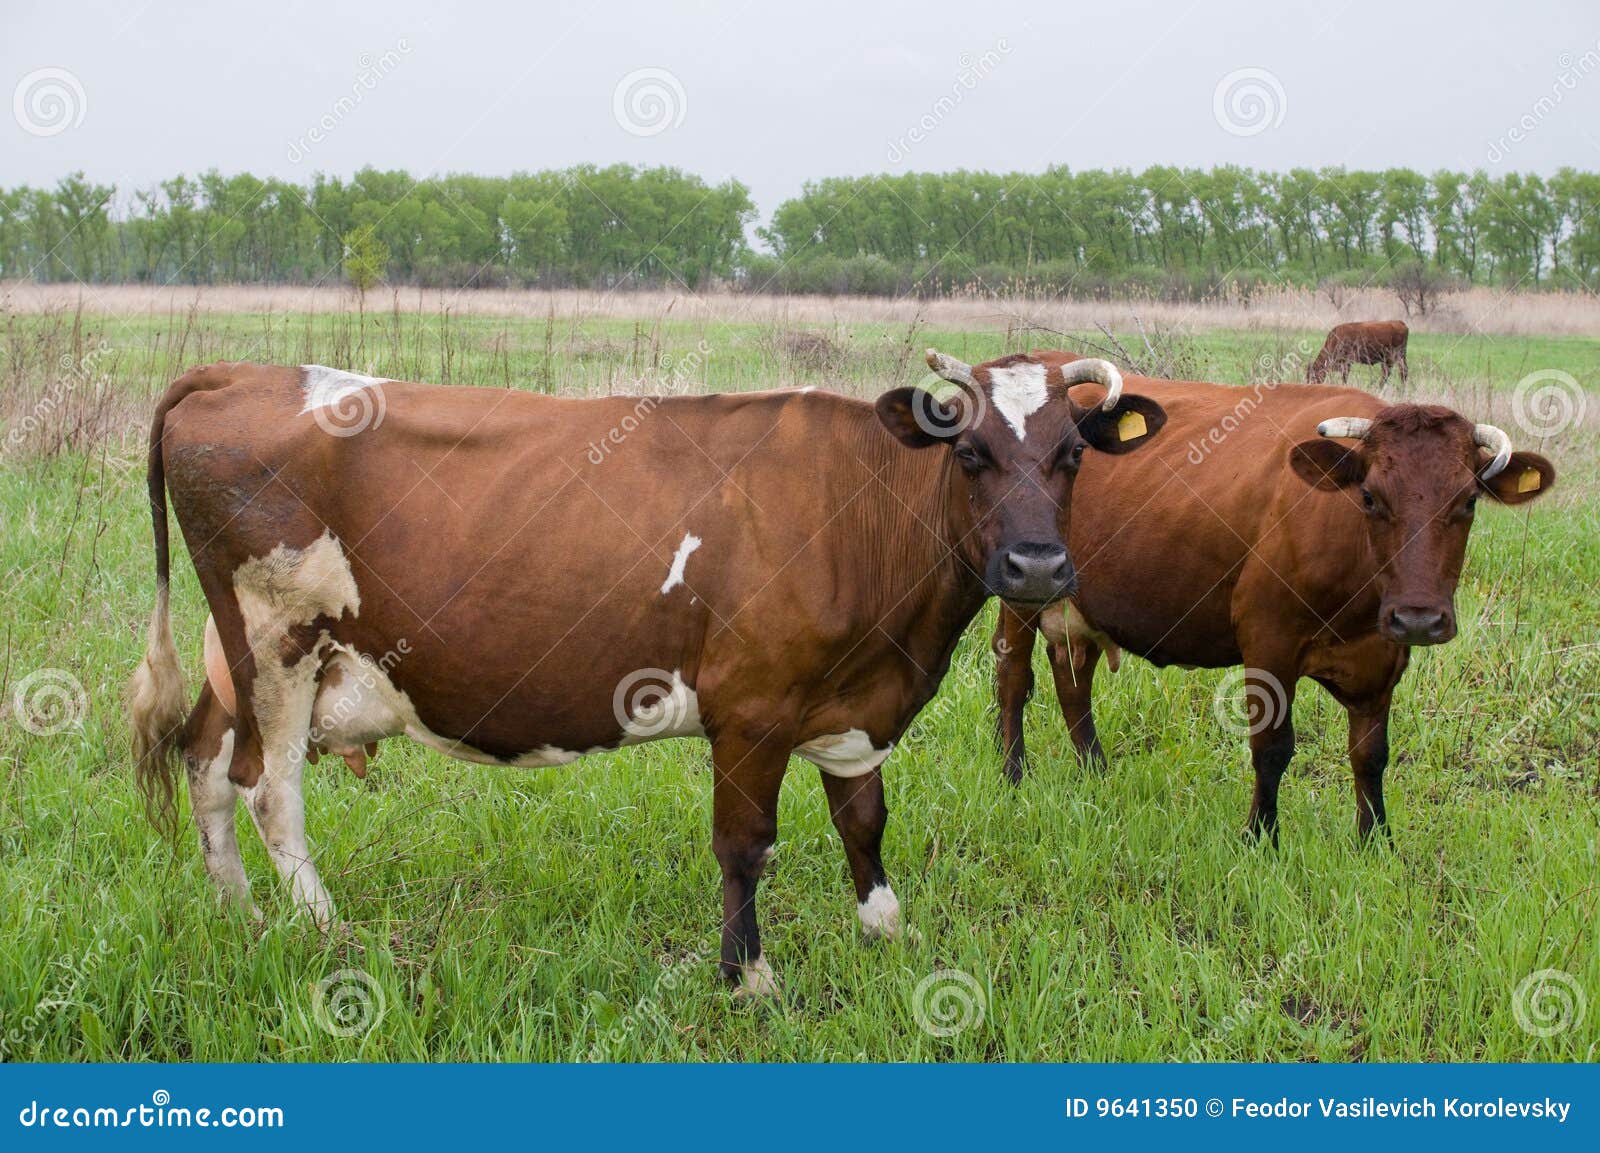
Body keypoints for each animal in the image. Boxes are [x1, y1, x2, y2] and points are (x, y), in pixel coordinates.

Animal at [126, 356, 1168, 995]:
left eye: (1072, 456)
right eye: (971, 452)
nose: (1037, 567)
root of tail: (238, 370)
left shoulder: (855, 707)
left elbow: (863, 820)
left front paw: (886, 928)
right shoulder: (751, 708)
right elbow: (745, 845)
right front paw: (748, 977)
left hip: (238, 657)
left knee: (206, 764)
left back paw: (241, 916)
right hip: (280, 640)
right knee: (269, 789)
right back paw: (325, 932)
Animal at [948, 349, 1555, 843]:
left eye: (1469, 501)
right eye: (1369, 497)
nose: (1421, 618)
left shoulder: (1384, 657)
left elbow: (1371, 755)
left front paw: (1375, 841)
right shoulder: (1268, 639)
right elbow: (1273, 749)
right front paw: (1261, 838)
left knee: (1073, 678)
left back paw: (1096, 774)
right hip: (1024, 586)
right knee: (1014, 674)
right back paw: (1014, 776)